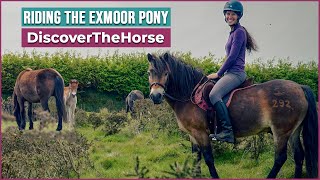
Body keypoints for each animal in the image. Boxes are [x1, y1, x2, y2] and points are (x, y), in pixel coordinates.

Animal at [147, 52, 318, 178]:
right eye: (150, 72)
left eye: (166, 73)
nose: (156, 96)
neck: (189, 95)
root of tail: (299, 87)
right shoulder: (192, 135)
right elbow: (196, 158)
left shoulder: (201, 133)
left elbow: (208, 159)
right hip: (293, 131)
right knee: (299, 155)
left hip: (281, 132)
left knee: (280, 158)